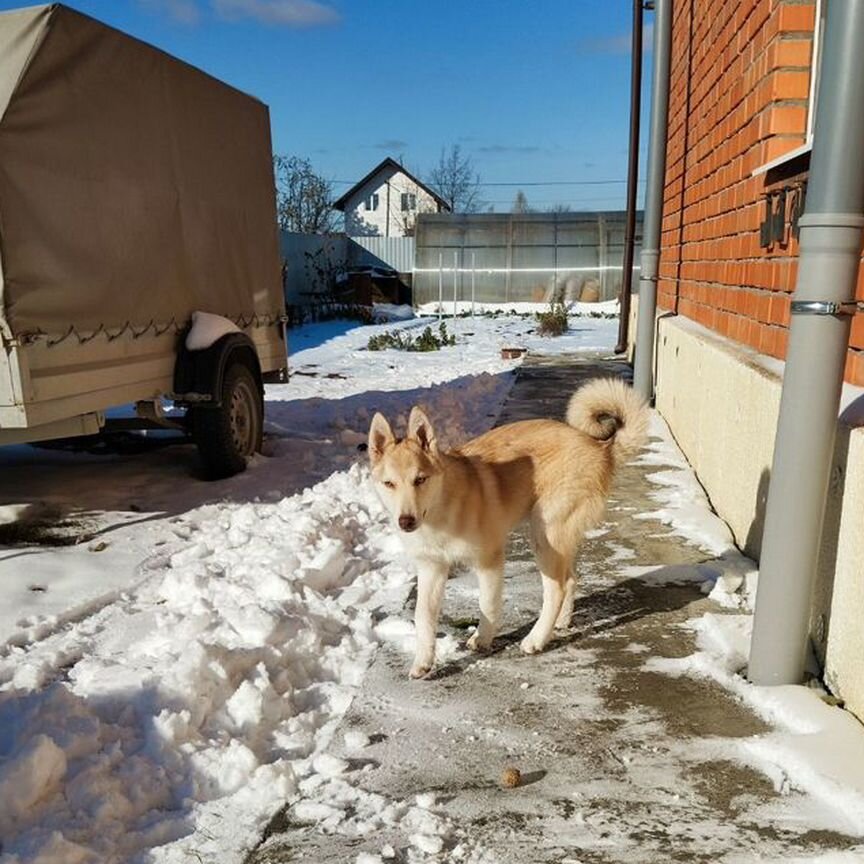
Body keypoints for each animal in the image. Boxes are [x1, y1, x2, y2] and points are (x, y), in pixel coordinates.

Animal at [366, 382, 648, 680]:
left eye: (420, 479)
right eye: (389, 484)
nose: (405, 522)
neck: (441, 510)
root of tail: (599, 446)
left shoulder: (489, 561)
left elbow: (488, 604)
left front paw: (482, 639)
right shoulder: (432, 568)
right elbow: (423, 616)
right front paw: (423, 661)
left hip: (544, 535)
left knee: (557, 588)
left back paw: (537, 639)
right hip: (559, 538)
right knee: (570, 579)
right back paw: (560, 622)